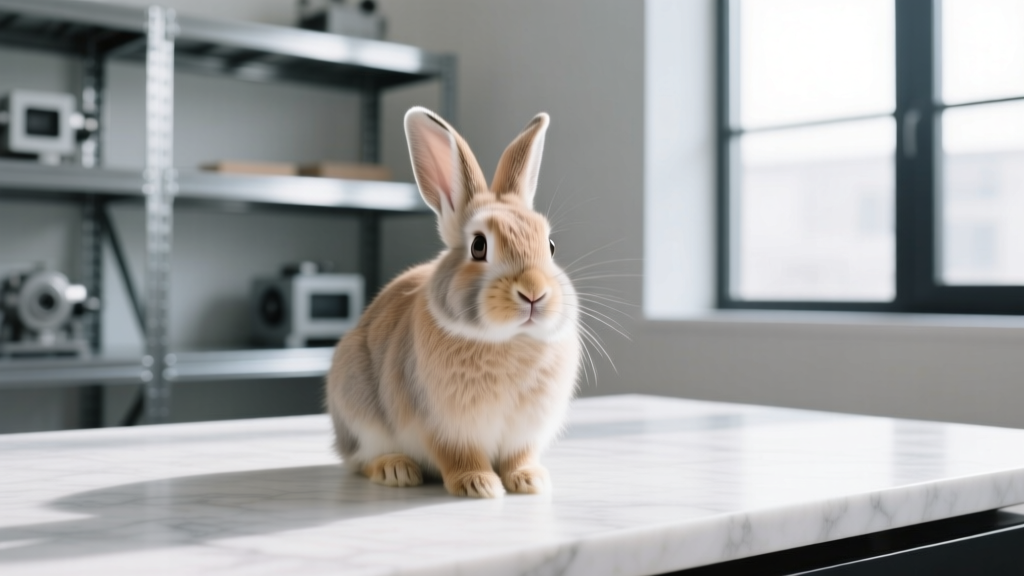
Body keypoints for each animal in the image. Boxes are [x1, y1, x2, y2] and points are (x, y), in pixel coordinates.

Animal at [325, 107, 580, 498]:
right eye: (478, 246)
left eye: (550, 246)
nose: (533, 293)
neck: (509, 340)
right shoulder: (444, 426)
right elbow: (460, 456)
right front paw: (479, 485)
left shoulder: (523, 434)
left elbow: (518, 457)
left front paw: (530, 480)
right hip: (357, 410)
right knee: (361, 459)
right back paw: (396, 470)